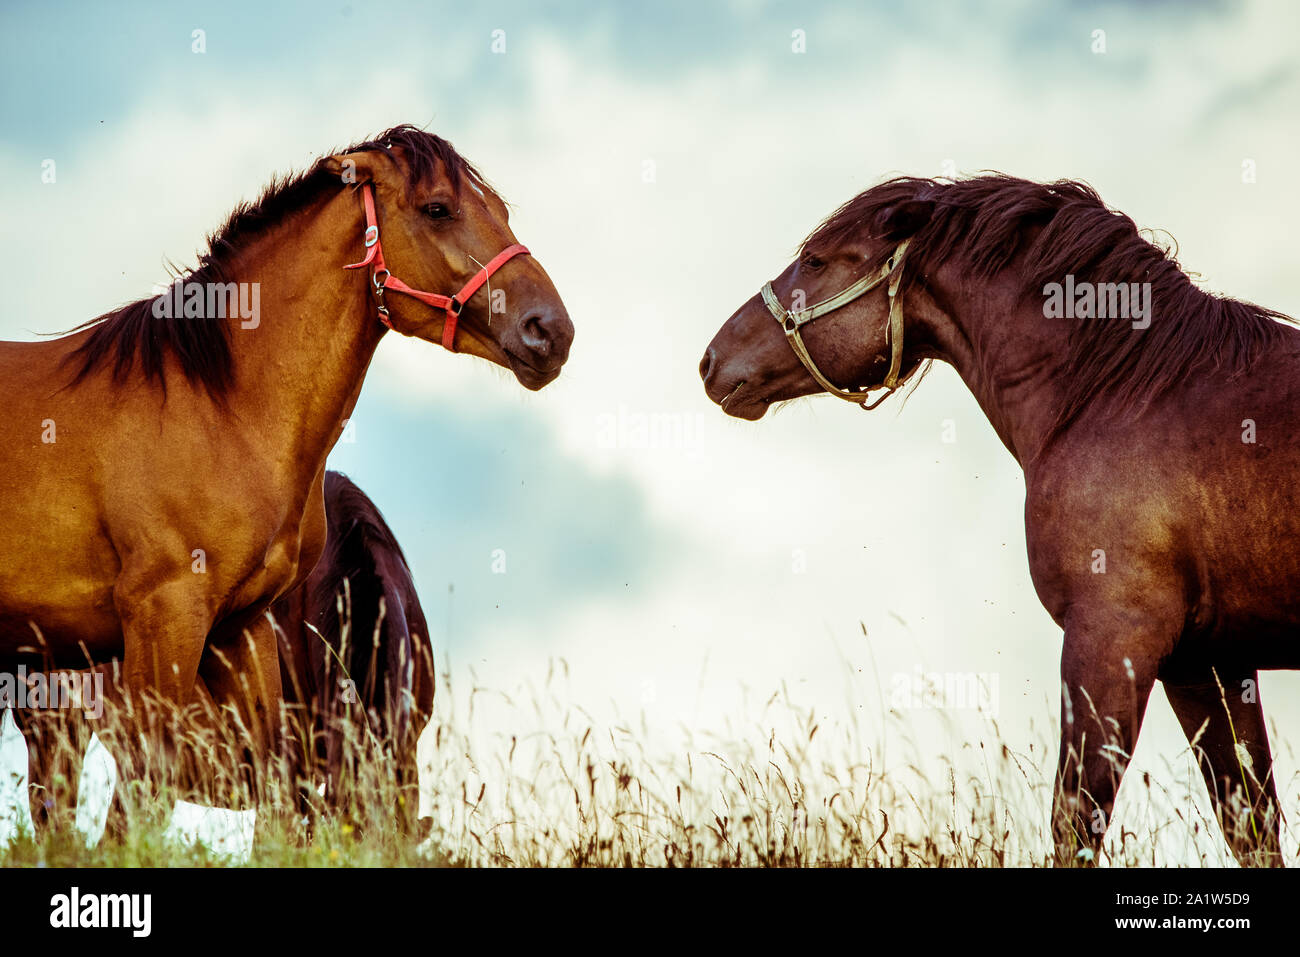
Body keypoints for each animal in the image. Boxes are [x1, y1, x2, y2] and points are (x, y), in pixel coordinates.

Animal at [700, 173, 1294, 865]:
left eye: (817, 261)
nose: (711, 362)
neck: (1127, 394)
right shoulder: (1209, 663)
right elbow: (1251, 825)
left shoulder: (1112, 640)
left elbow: (1076, 821)